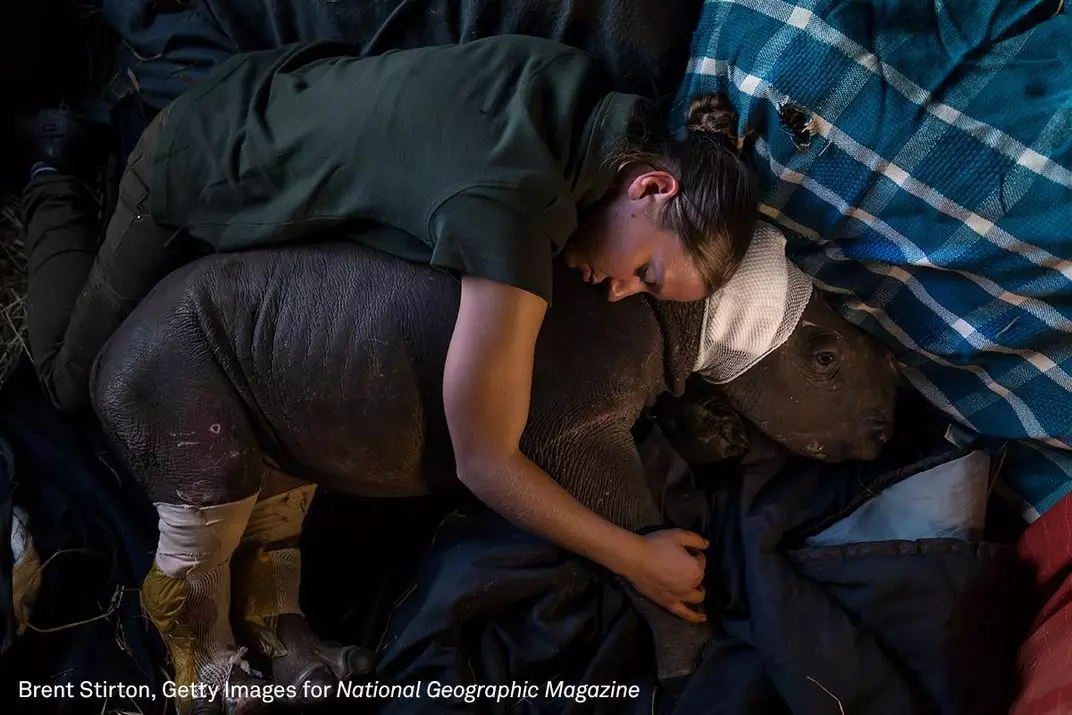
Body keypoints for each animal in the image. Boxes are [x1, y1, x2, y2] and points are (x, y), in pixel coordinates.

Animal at [90, 220, 896, 711]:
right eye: (825, 360)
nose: (889, 430)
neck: (691, 310)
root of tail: (101, 357)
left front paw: (716, 434)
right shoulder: (567, 427)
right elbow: (624, 515)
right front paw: (684, 653)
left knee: (274, 498)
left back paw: (325, 670)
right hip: (165, 367)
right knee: (213, 495)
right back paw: (235, 693)